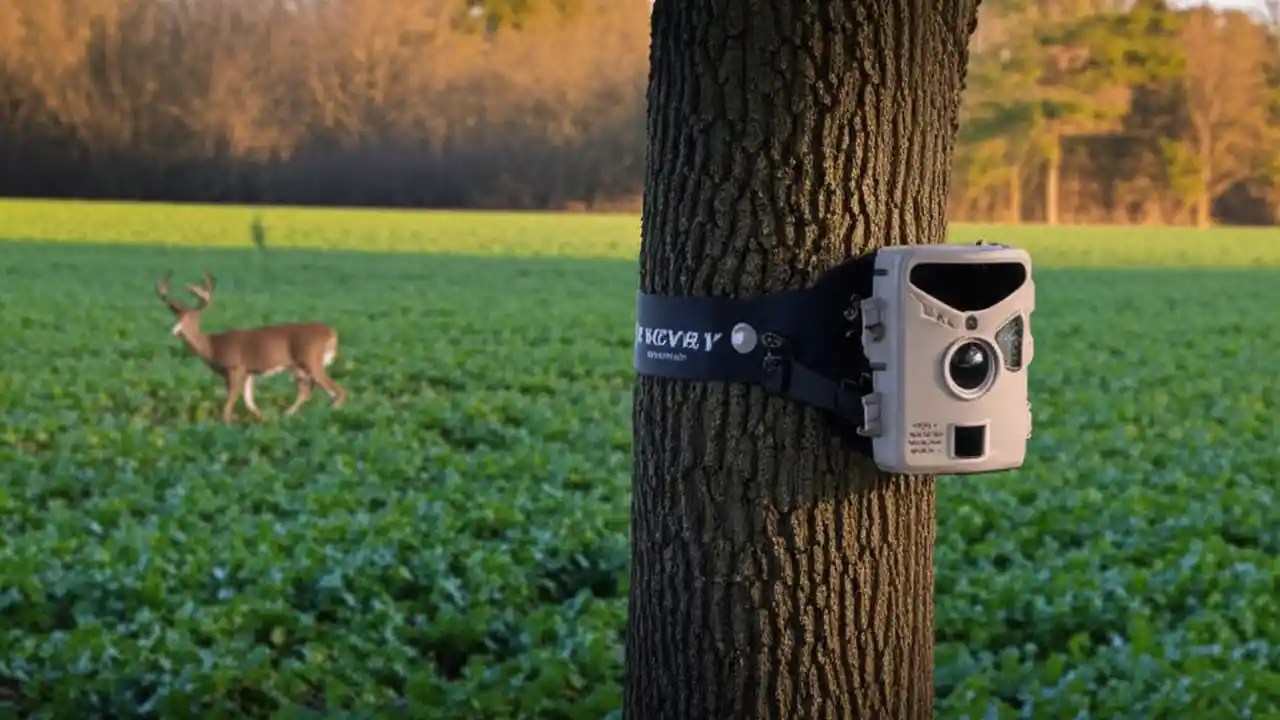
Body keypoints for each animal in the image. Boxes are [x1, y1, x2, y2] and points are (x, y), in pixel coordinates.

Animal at [156, 270, 347, 423]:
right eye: (176, 317)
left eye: (189, 318)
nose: (173, 330)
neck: (212, 346)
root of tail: (331, 333)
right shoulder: (249, 373)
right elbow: (249, 402)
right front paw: (263, 420)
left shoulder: (235, 367)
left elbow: (228, 407)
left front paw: (229, 422)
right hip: (297, 367)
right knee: (306, 392)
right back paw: (287, 415)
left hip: (311, 359)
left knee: (338, 391)